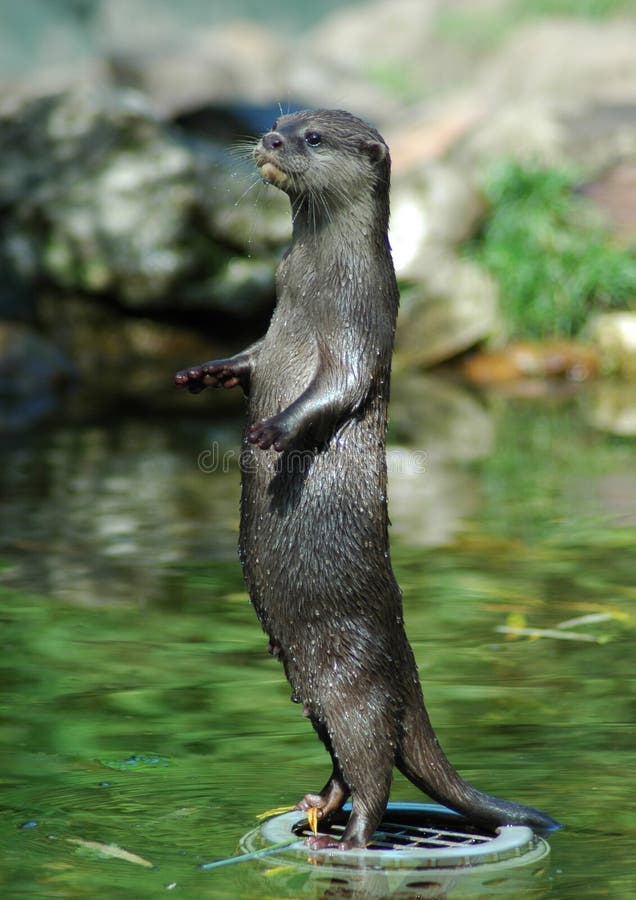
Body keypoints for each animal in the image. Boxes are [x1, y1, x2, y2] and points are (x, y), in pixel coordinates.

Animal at [175, 109, 559, 849]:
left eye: (313, 138)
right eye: (278, 121)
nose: (269, 141)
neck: (314, 281)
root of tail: (405, 673)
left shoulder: (363, 318)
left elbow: (338, 388)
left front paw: (271, 434)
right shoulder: (272, 329)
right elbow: (249, 360)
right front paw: (204, 373)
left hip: (353, 686)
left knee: (374, 769)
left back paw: (354, 839)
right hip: (311, 688)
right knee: (346, 765)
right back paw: (318, 810)